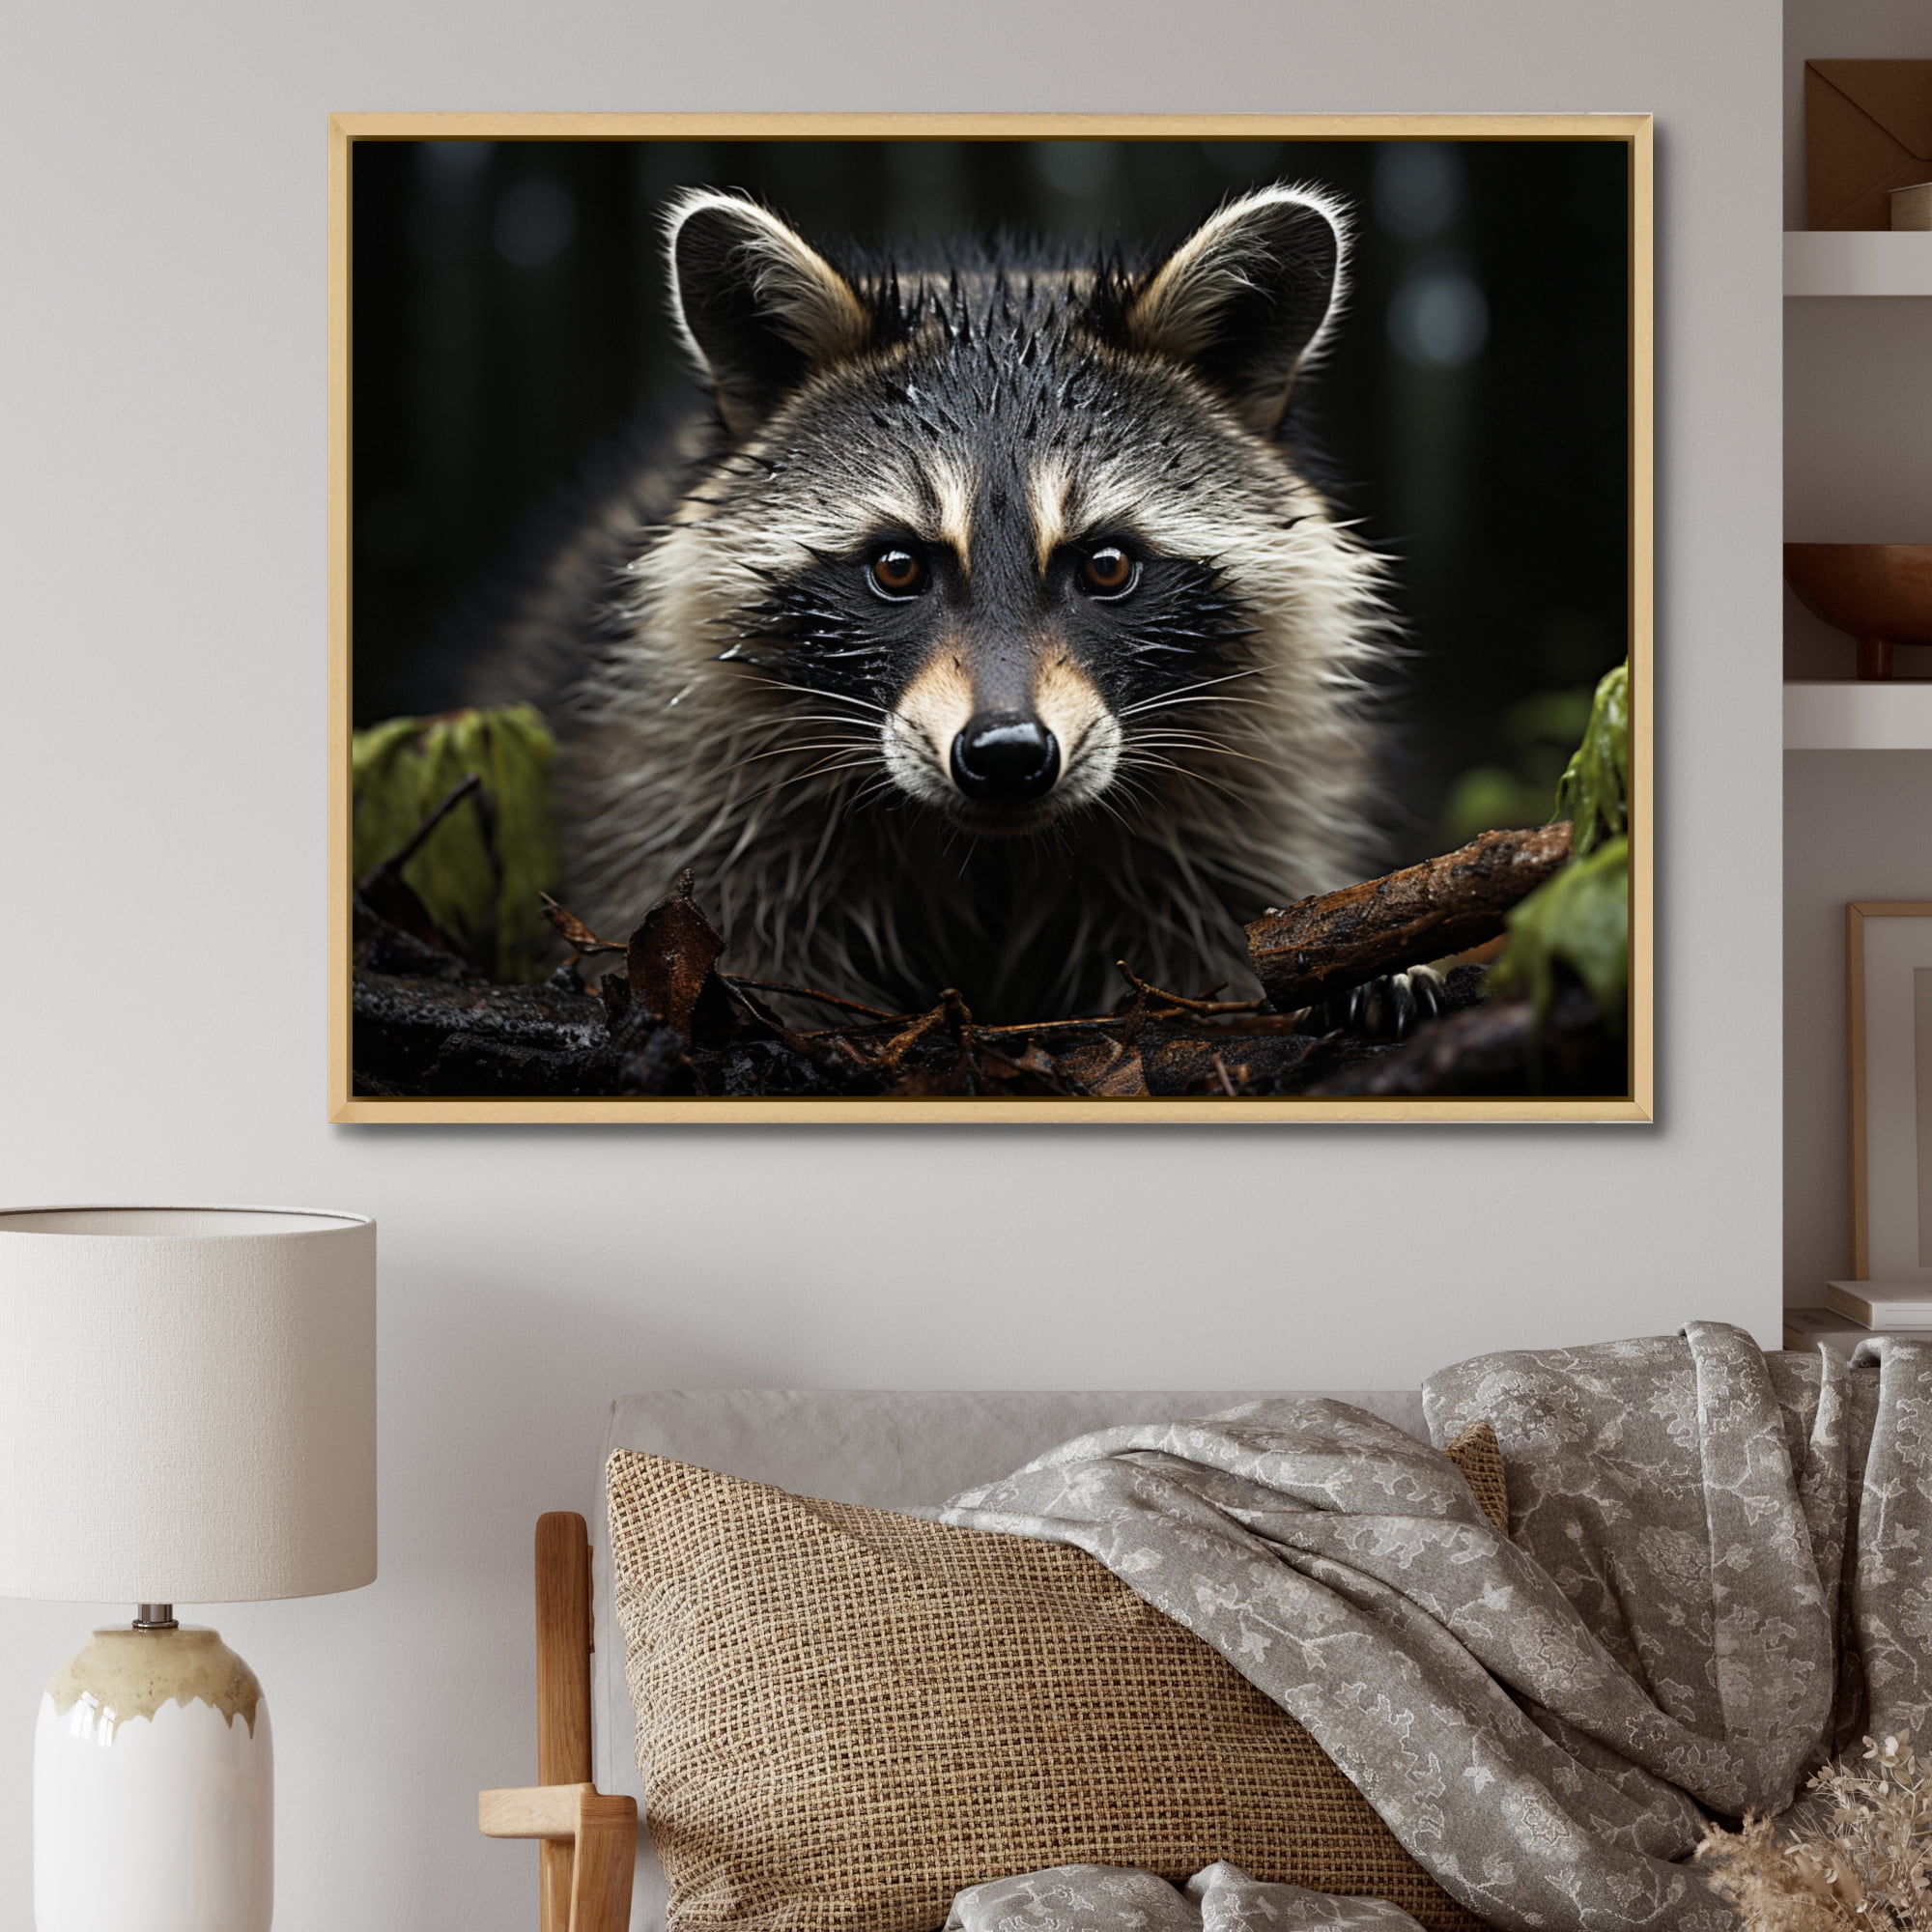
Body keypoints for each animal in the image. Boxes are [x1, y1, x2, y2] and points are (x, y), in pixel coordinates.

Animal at [474, 182, 1390, 1021]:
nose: (1007, 754)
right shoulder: (680, 785)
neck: (993, 850)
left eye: (1106, 567)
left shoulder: (1245, 797)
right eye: (897, 568)